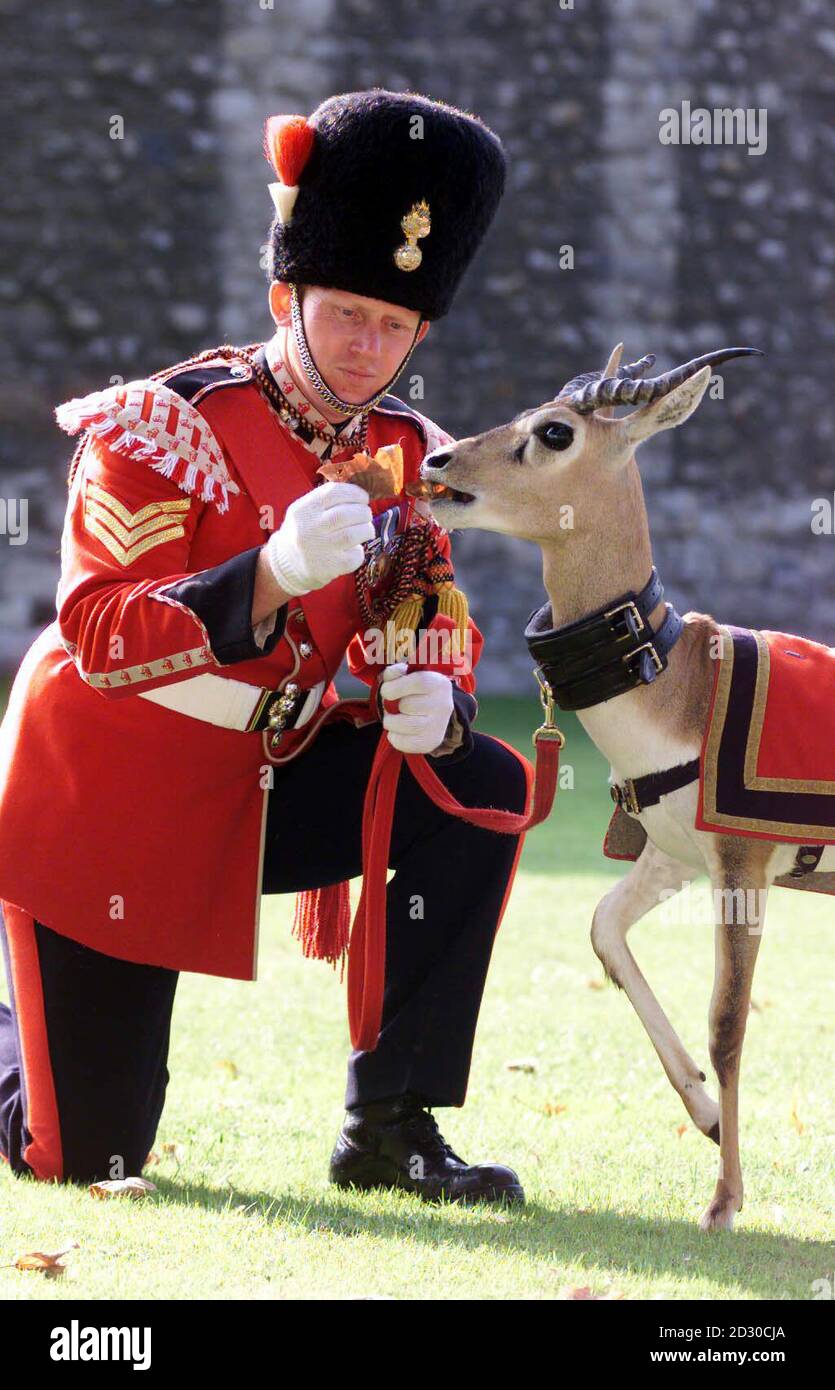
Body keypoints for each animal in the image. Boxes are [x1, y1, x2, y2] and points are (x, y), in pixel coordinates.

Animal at [417, 344, 826, 1232]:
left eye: (553, 431)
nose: (437, 461)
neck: (680, 684)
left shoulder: (740, 866)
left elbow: (726, 1024)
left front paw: (723, 1201)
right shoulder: (672, 855)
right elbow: (603, 930)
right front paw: (705, 1120)